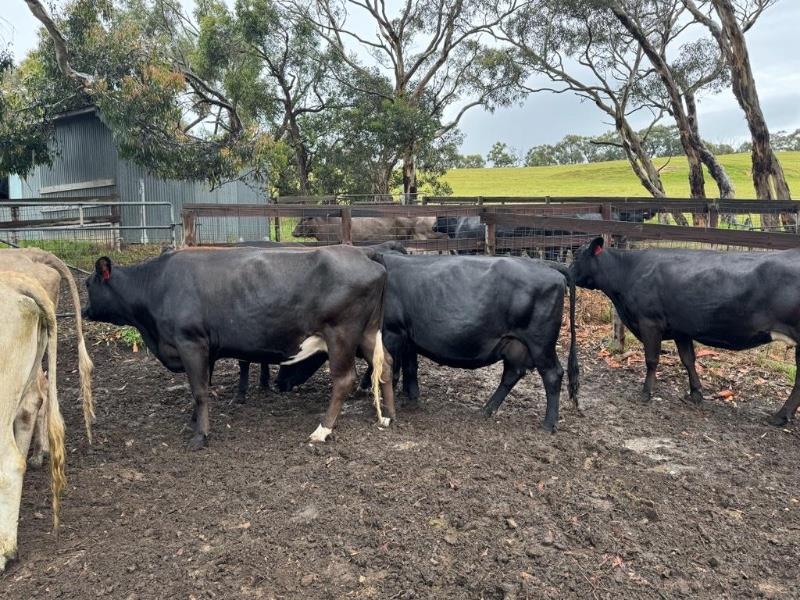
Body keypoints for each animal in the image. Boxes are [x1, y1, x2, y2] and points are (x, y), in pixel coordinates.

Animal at [82, 246, 395, 448]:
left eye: (87, 284)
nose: (83, 311)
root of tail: (362, 253)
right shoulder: (204, 348)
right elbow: (200, 387)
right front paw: (193, 420)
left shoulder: (190, 342)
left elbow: (199, 391)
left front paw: (200, 436)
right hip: (368, 332)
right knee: (386, 366)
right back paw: (389, 416)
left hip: (341, 333)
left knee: (344, 379)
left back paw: (323, 430)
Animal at [569, 236, 800, 425]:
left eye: (577, 255)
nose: (567, 271)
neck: (628, 272)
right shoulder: (681, 329)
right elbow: (688, 360)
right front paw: (695, 393)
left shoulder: (649, 323)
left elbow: (652, 360)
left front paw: (646, 392)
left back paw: (780, 416)